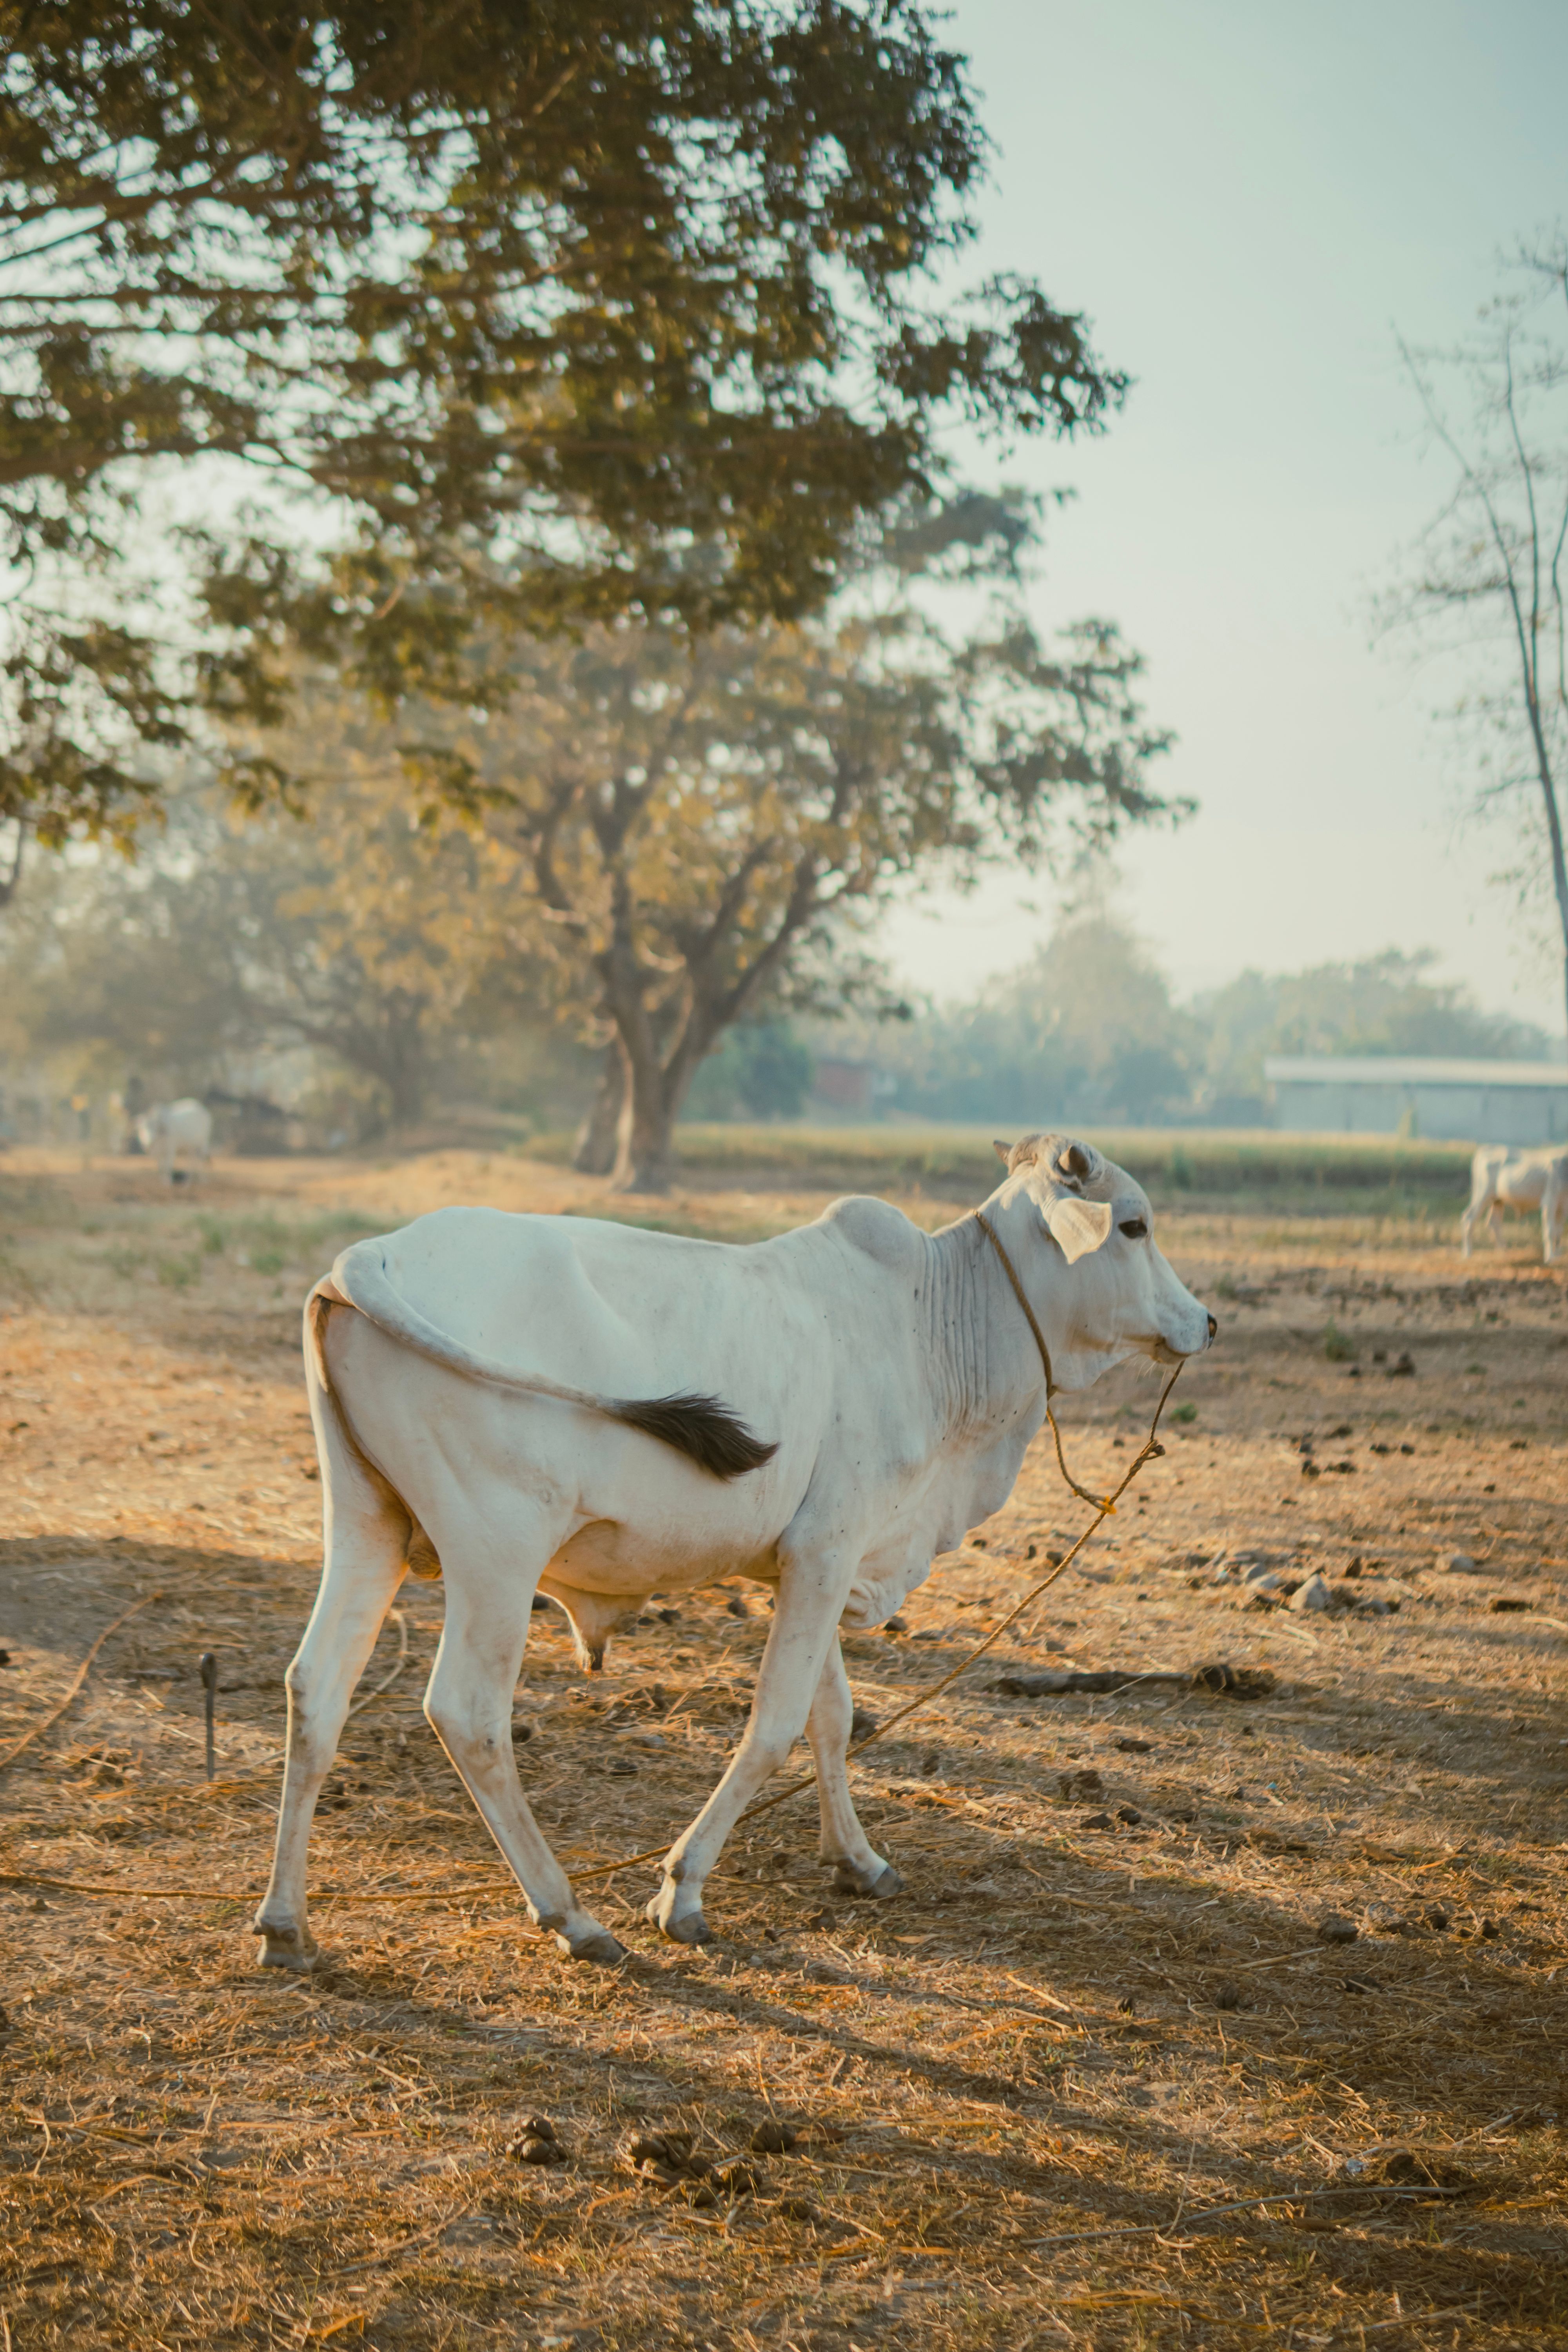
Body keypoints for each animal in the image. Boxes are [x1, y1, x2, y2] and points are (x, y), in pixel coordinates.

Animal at [135, 1097, 213, 1183]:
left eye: (154, 1128)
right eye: (142, 1129)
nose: (148, 1143)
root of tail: (204, 1111)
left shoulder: (171, 1149)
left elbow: (168, 1166)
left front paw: (168, 1182)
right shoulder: (157, 1153)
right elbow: (161, 1167)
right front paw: (163, 1180)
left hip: (204, 1143)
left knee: (201, 1160)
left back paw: (203, 1180)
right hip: (191, 1148)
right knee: (192, 1161)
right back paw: (188, 1180)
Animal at [254, 1131, 1217, 1973]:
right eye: (1133, 1225)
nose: (1203, 1322)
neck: (933, 1327)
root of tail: (371, 1257)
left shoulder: (818, 1559)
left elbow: (833, 1715)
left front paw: (858, 1861)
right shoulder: (828, 1550)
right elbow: (777, 1723)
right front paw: (681, 1890)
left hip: (366, 1523)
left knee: (317, 1688)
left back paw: (287, 1926)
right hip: (497, 1553)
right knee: (468, 1715)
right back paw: (571, 1915)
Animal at [1459, 1144, 1568, 1262]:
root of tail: (1488, 1148)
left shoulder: (1563, 1205)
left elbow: (1559, 1231)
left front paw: (1558, 1255)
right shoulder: (1550, 1201)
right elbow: (1550, 1231)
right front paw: (1550, 1258)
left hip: (1497, 1200)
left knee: (1494, 1222)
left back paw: (1503, 1250)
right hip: (1482, 1195)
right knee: (1470, 1218)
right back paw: (1468, 1253)